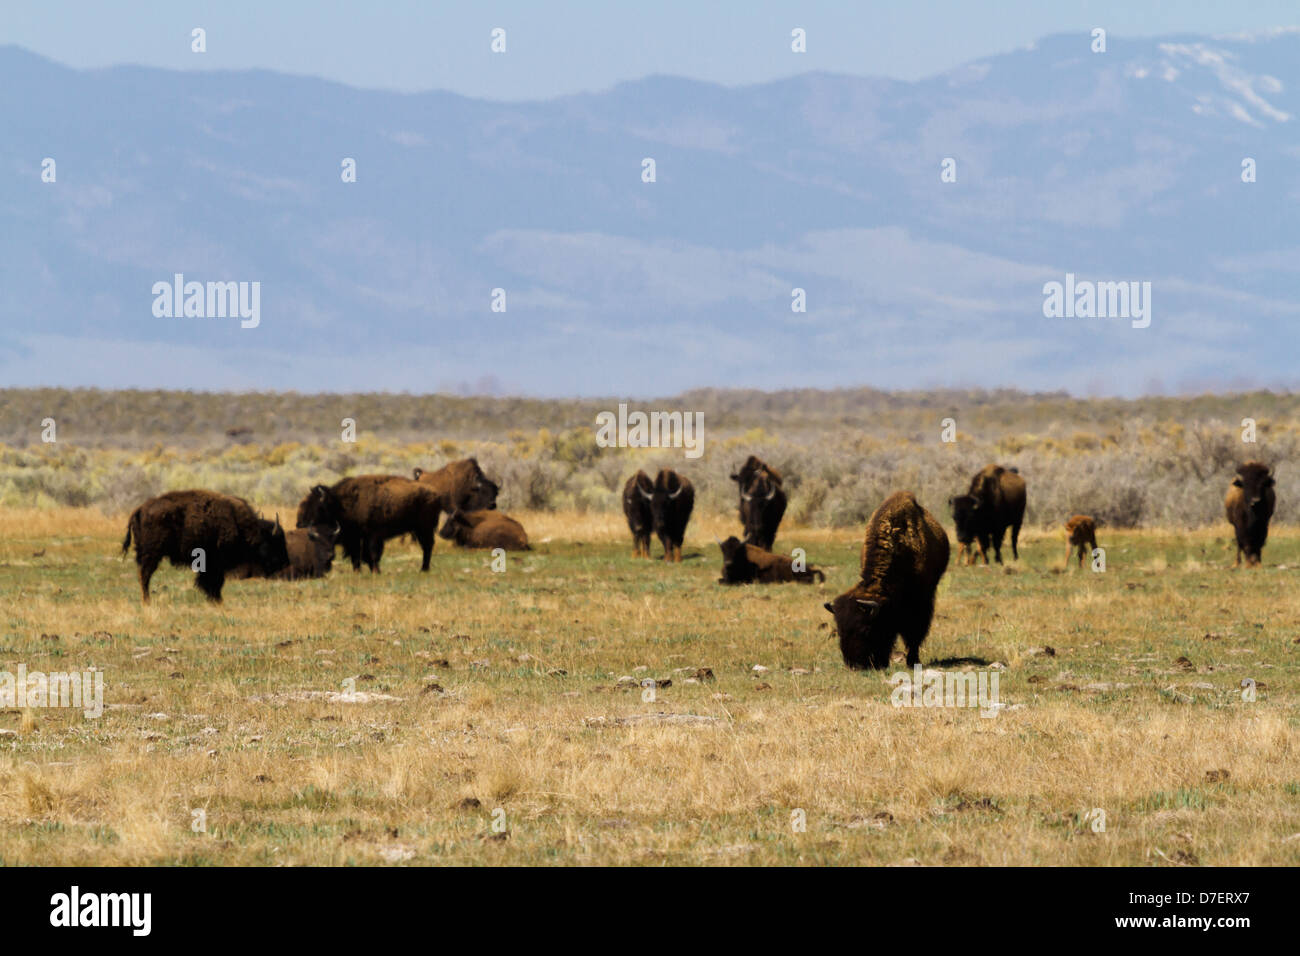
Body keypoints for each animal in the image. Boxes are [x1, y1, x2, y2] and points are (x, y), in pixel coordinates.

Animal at [121, 489, 288, 603]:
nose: (284, 562)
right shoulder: (215, 563)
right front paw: (217, 601)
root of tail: (140, 509)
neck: (239, 523)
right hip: (152, 554)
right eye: (273, 542)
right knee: (145, 575)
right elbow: (214, 582)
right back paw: (147, 601)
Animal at [823, 491, 949, 669]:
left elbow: (914, 633)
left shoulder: (920, 602)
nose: (854, 665)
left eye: (866, 630)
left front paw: (912, 661)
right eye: (840, 630)